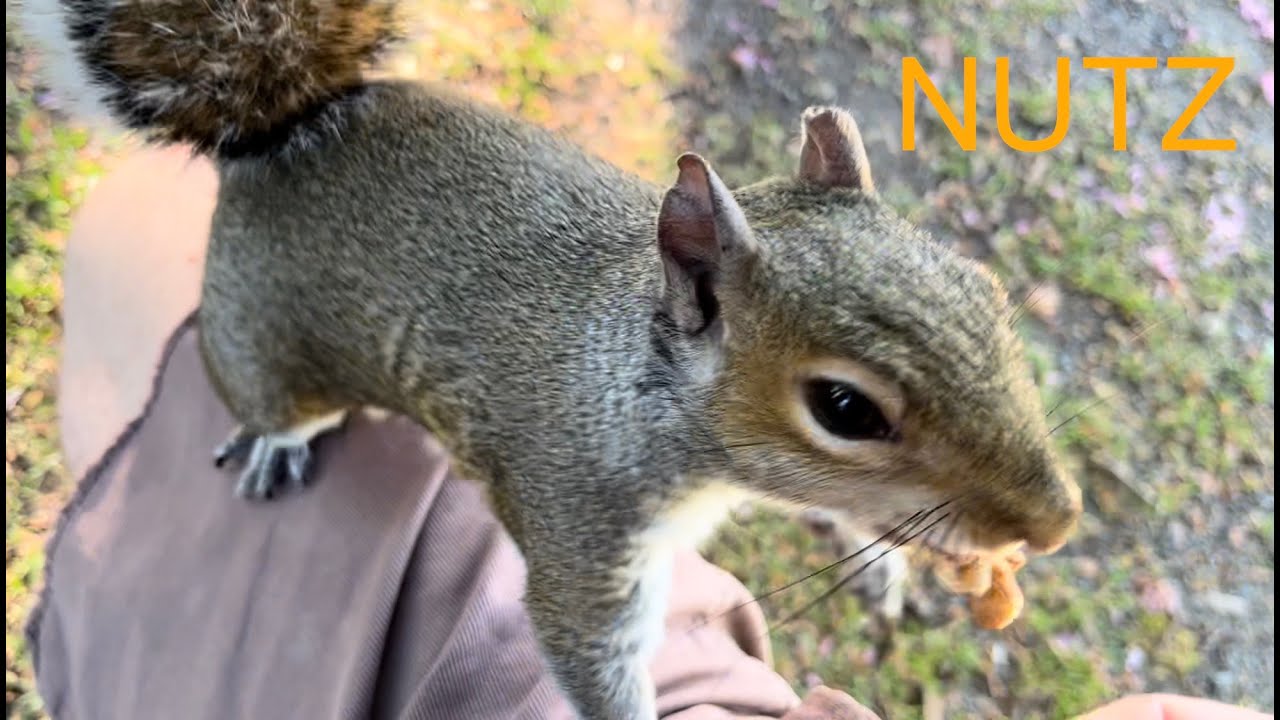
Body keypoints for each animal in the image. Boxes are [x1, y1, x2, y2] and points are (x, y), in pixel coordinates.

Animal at [26, 2, 1083, 718]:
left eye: (985, 289)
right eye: (844, 408)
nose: (1056, 522)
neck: (643, 387)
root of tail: (286, 143)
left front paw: (893, 564)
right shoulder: (584, 521)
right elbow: (585, 648)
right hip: (258, 340)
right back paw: (274, 441)